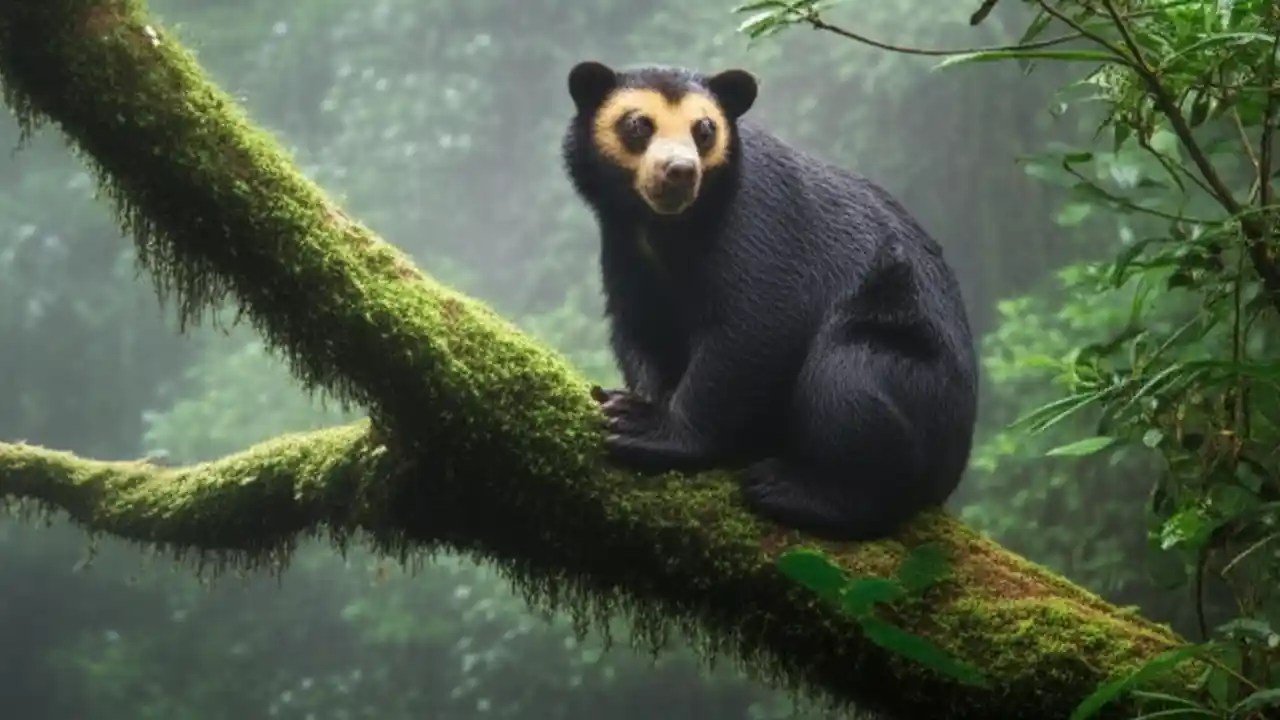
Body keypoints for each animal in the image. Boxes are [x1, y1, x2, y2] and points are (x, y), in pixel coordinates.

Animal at [560, 60, 979, 541]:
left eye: (704, 129)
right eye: (638, 125)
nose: (679, 172)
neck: (666, 227)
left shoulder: (759, 223)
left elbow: (757, 327)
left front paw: (651, 430)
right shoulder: (624, 244)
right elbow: (643, 326)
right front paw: (629, 400)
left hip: (917, 372)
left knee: (848, 378)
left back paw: (792, 491)